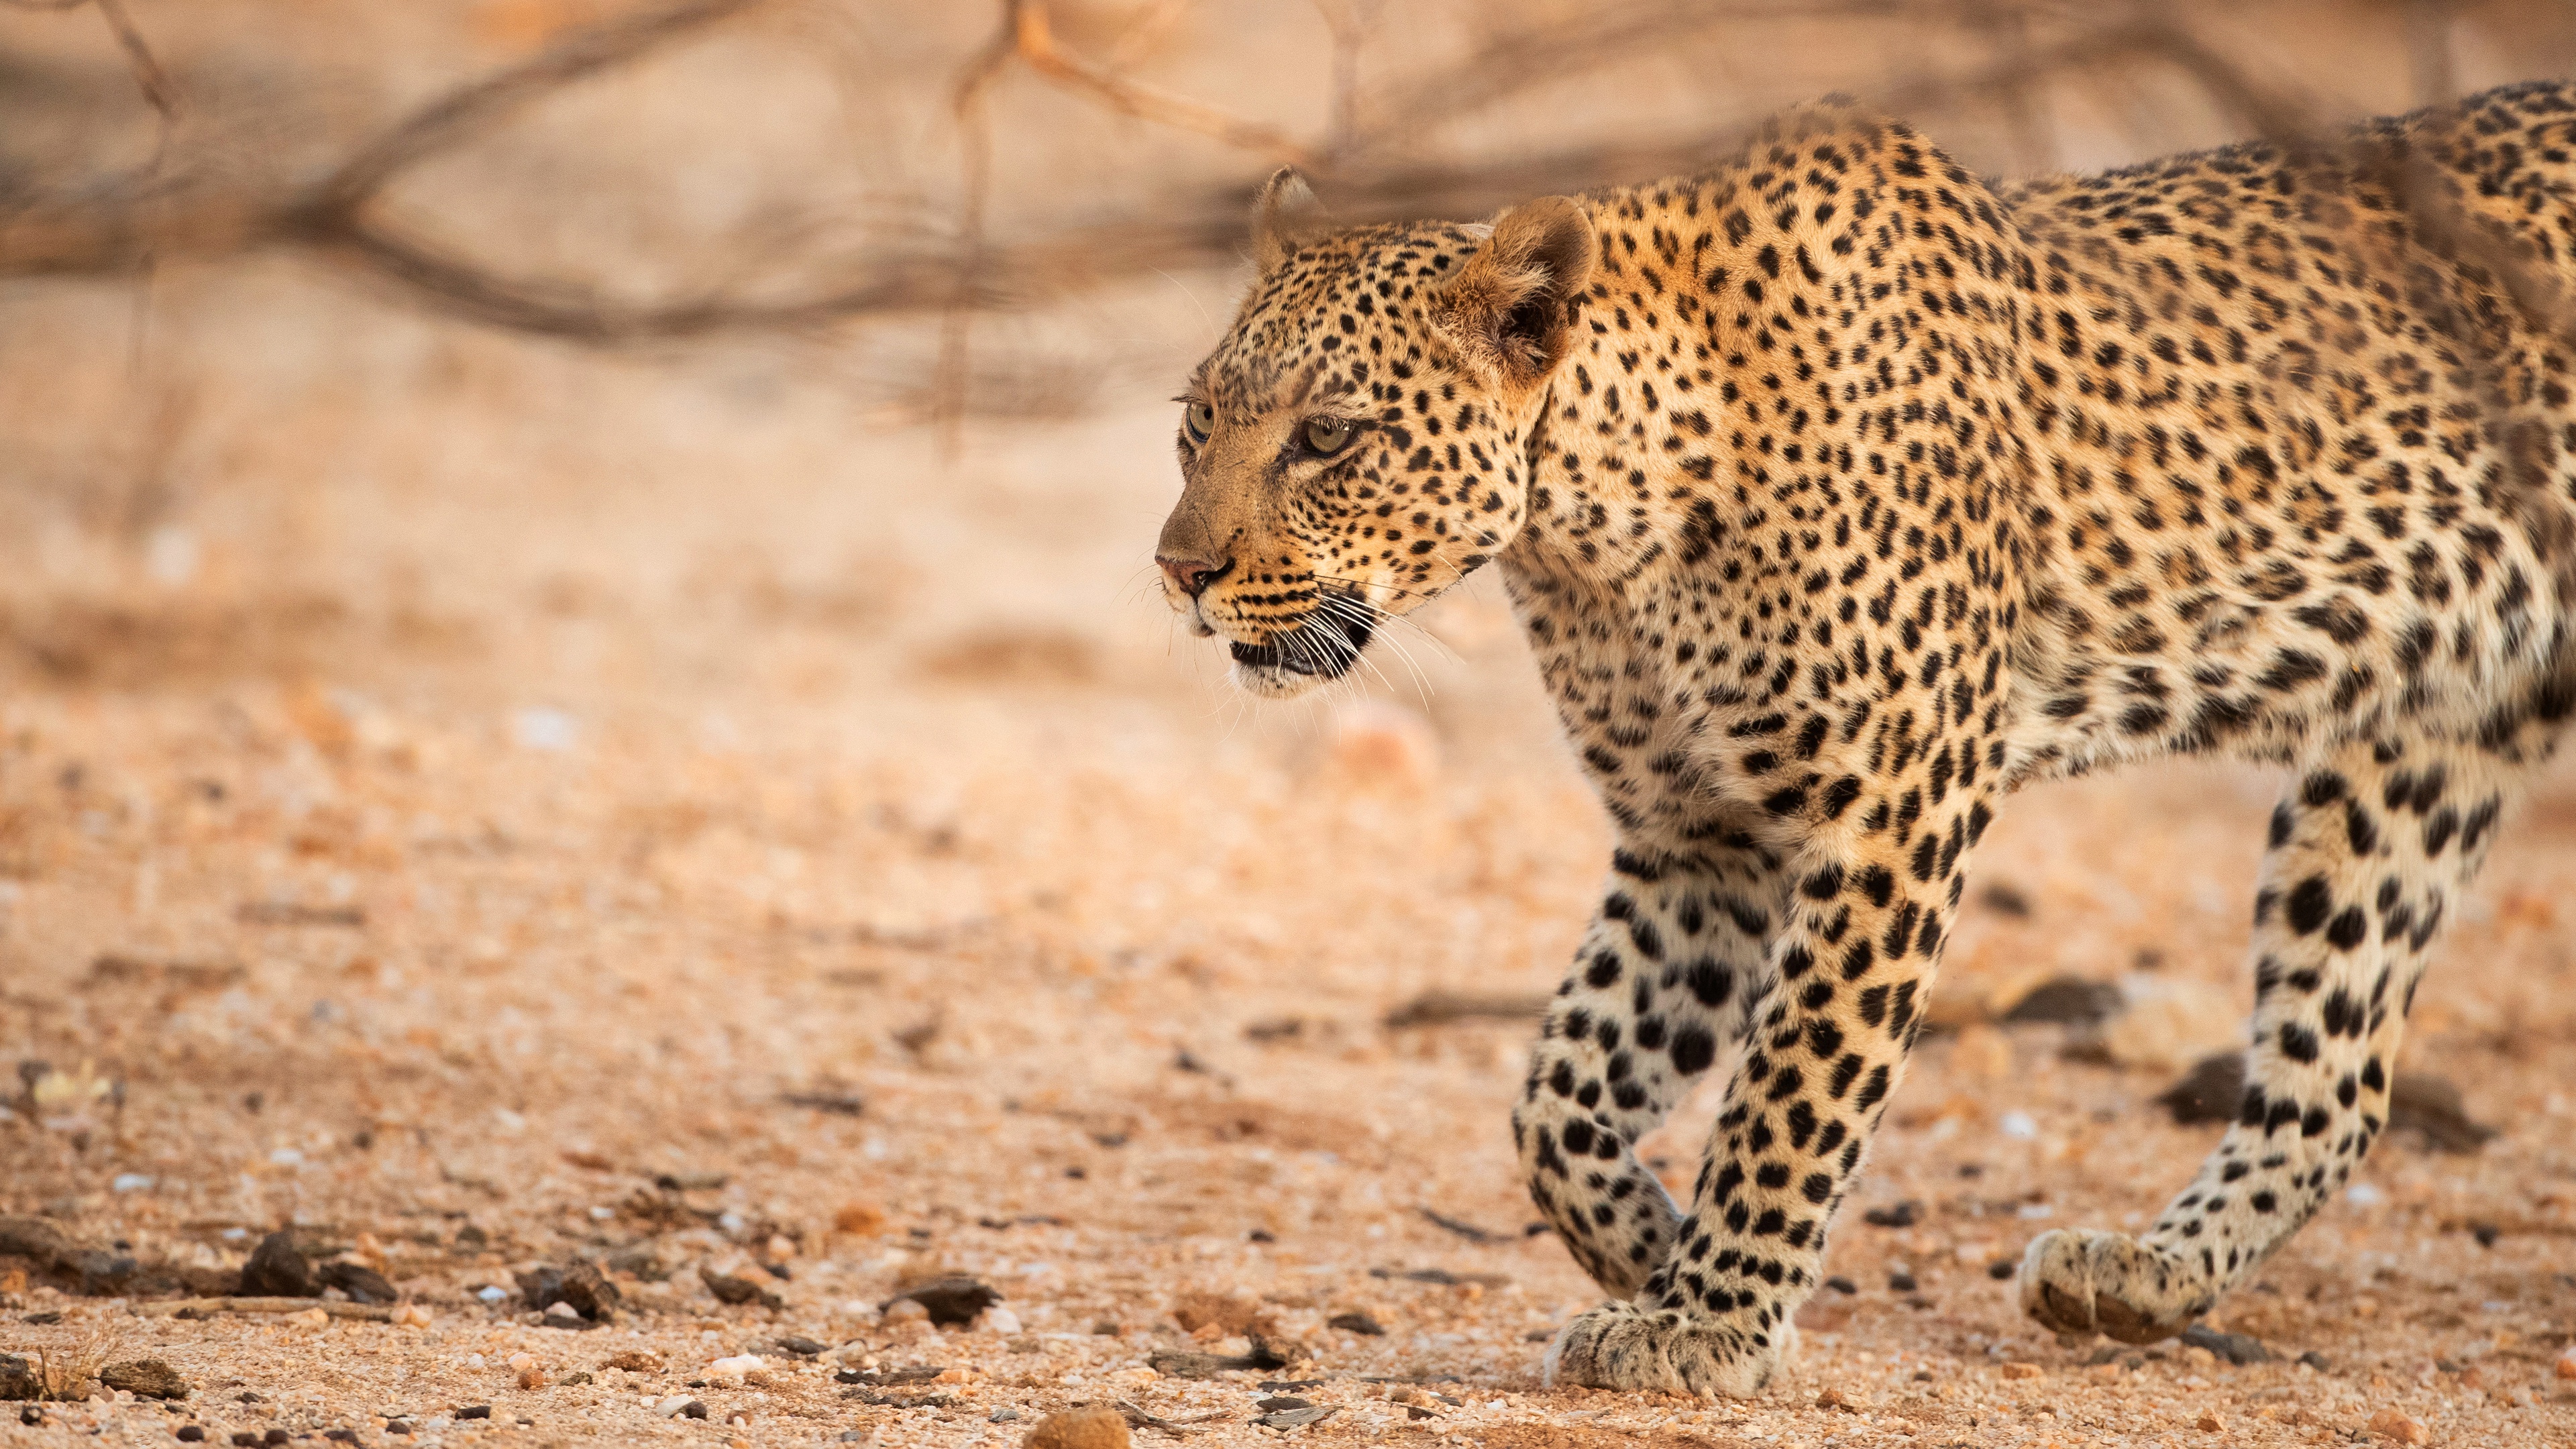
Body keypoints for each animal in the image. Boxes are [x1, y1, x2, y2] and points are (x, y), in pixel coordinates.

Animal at [1150, 79, 2576, 1397]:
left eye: (1328, 436)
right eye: (1196, 422)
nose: (1179, 573)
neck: (1602, 535)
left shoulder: (1889, 808)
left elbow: (1795, 1088)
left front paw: (1708, 1322)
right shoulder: (1695, 835)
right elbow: (1559, 1092)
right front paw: (1650, 1248)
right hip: (2424, 743)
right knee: (2341, 1076)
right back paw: (2144, 1275)